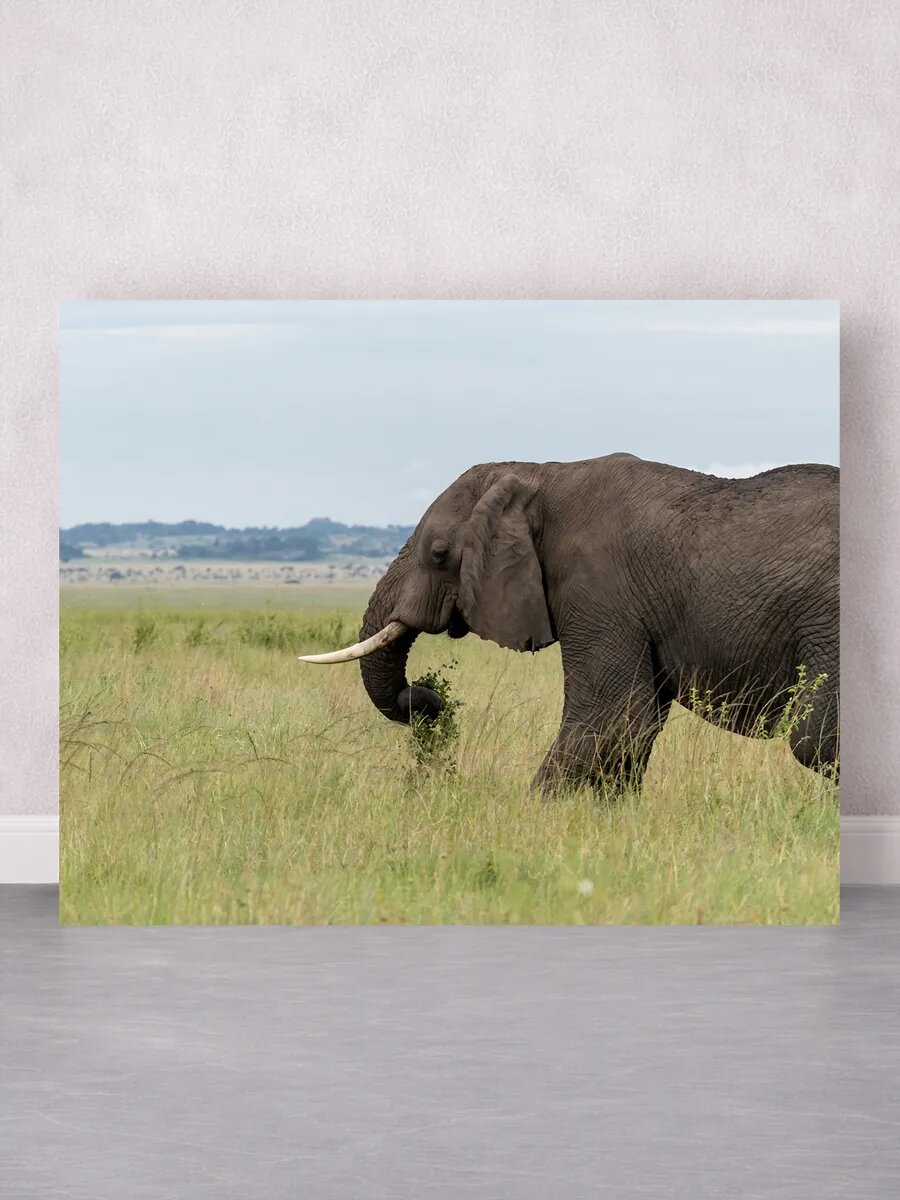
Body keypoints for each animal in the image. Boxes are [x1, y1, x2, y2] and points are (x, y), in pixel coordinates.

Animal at [300, 454, 839, 794]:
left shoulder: (598, 588)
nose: (430, 701)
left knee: (813, 739)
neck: (541, 475)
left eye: (438, 554)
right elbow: (635, 730)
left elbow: (613, 719)